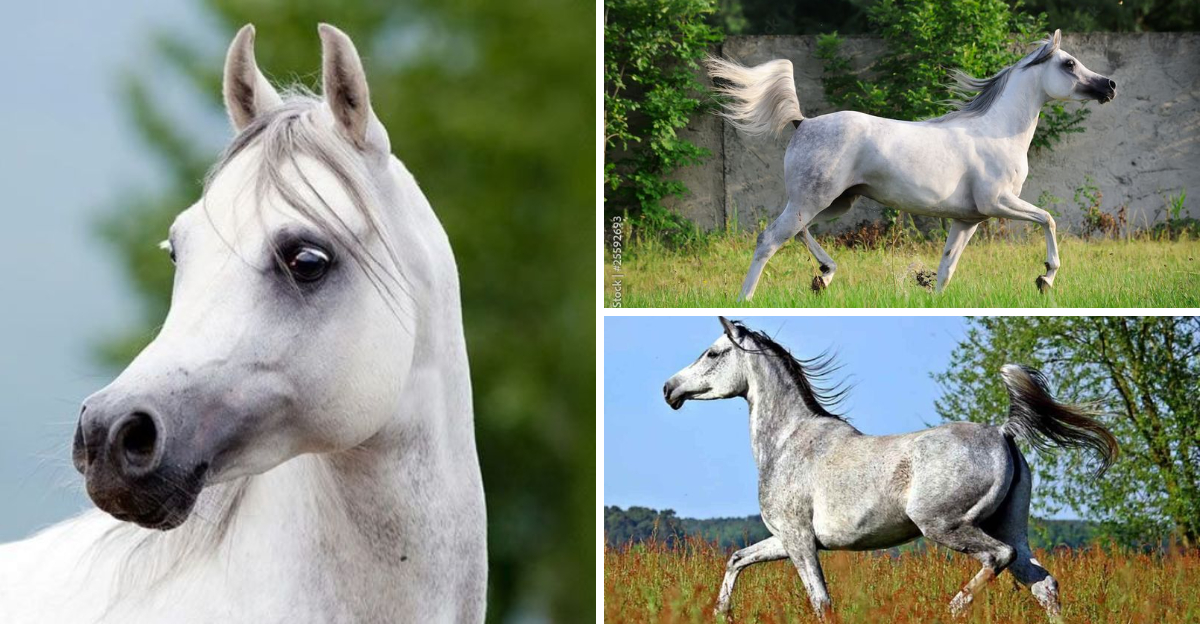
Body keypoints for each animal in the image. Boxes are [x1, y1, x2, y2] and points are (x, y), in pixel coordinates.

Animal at [662, 317, 1118, 620]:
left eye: (713, 353)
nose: (669, 389)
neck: (789, 440)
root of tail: (1003, 433)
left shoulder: (799, 540)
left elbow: (820, 602)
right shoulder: (785, 539)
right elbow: (737, 559)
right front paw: (722, 613)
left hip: (945, 526)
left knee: (998, 558)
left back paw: (952, 608)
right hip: (1011, 528)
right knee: (1043, 584)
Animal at [706, 30, 1117, 300]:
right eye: (1069, 63)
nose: (1109, 86)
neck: (998, 132)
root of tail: (802, 122)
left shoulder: (969, 219)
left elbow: (947, 268)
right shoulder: (998, 202)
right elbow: (1047, 219)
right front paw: (1045, 278)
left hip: (833, 203)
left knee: (798, 233)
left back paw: (824, 276)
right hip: (813, 200)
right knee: (769, 239)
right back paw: (747, 300)